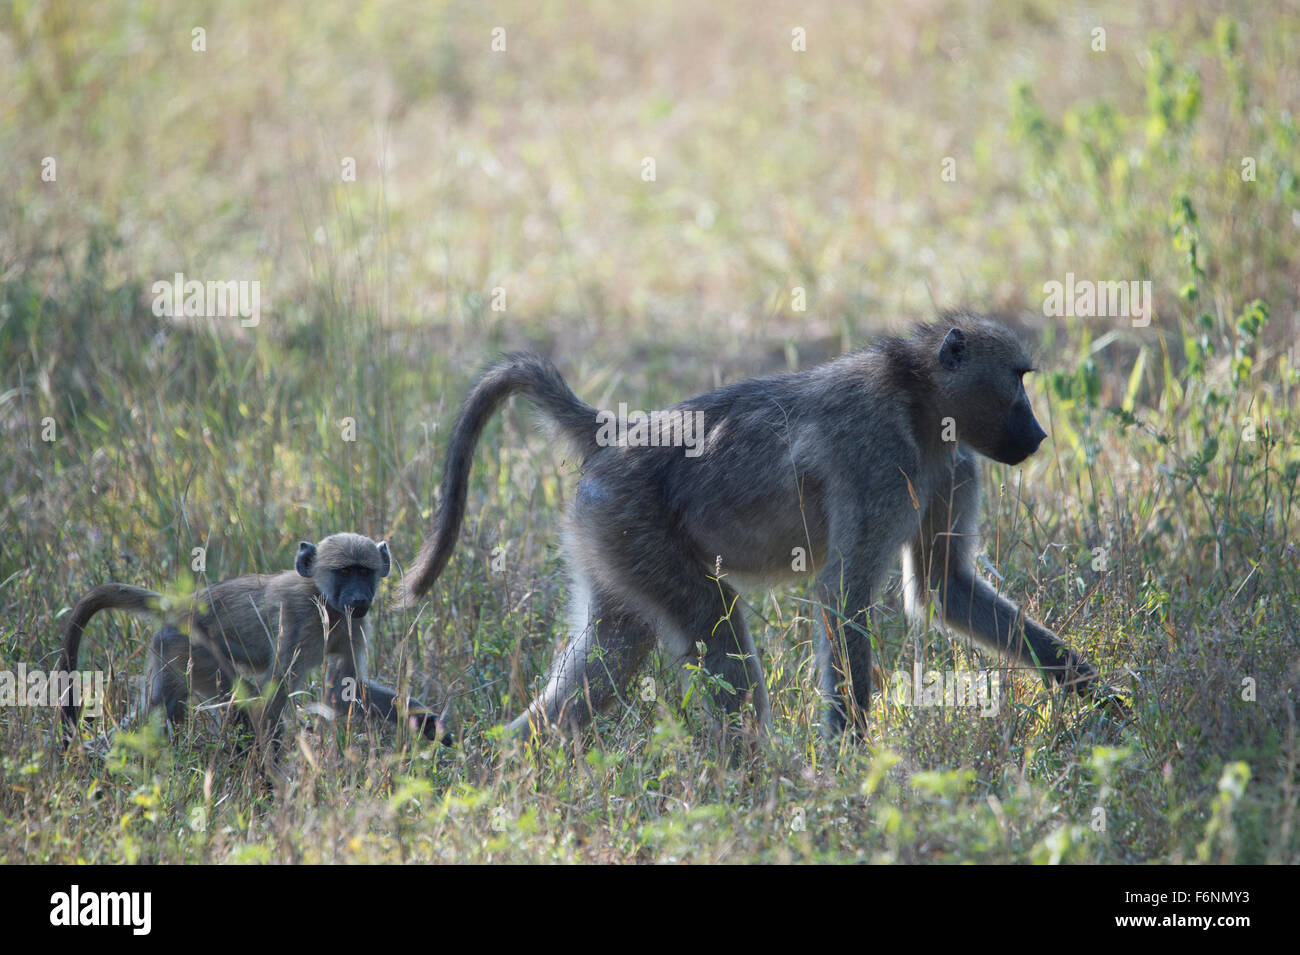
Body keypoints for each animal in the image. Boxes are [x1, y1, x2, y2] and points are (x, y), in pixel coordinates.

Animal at [59, 533, 449, 762]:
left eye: (364, 571)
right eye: (344, 572)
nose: (359, 599)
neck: (324, 601)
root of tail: (181, 606)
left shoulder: (352, 625)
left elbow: (342, 691)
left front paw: (430, 725)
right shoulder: (299, 620)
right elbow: (272, 697)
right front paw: (271, 779)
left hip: (167, 651)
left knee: (159, 710)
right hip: (191, 650)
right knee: (228, 699)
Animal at [403, 311, 1124, 740]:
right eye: (1019, 380)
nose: (1038, 433)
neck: (919, 401)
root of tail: (618, 431)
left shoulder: (957, 467)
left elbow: (946, 590)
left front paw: (1100, 694)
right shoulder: (878, 460)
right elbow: (841, 594)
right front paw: (851, 765)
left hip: (606, 536)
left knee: (610, 653)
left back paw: (504, 760)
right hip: (629, 521)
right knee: (711, 624)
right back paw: (764, 783)